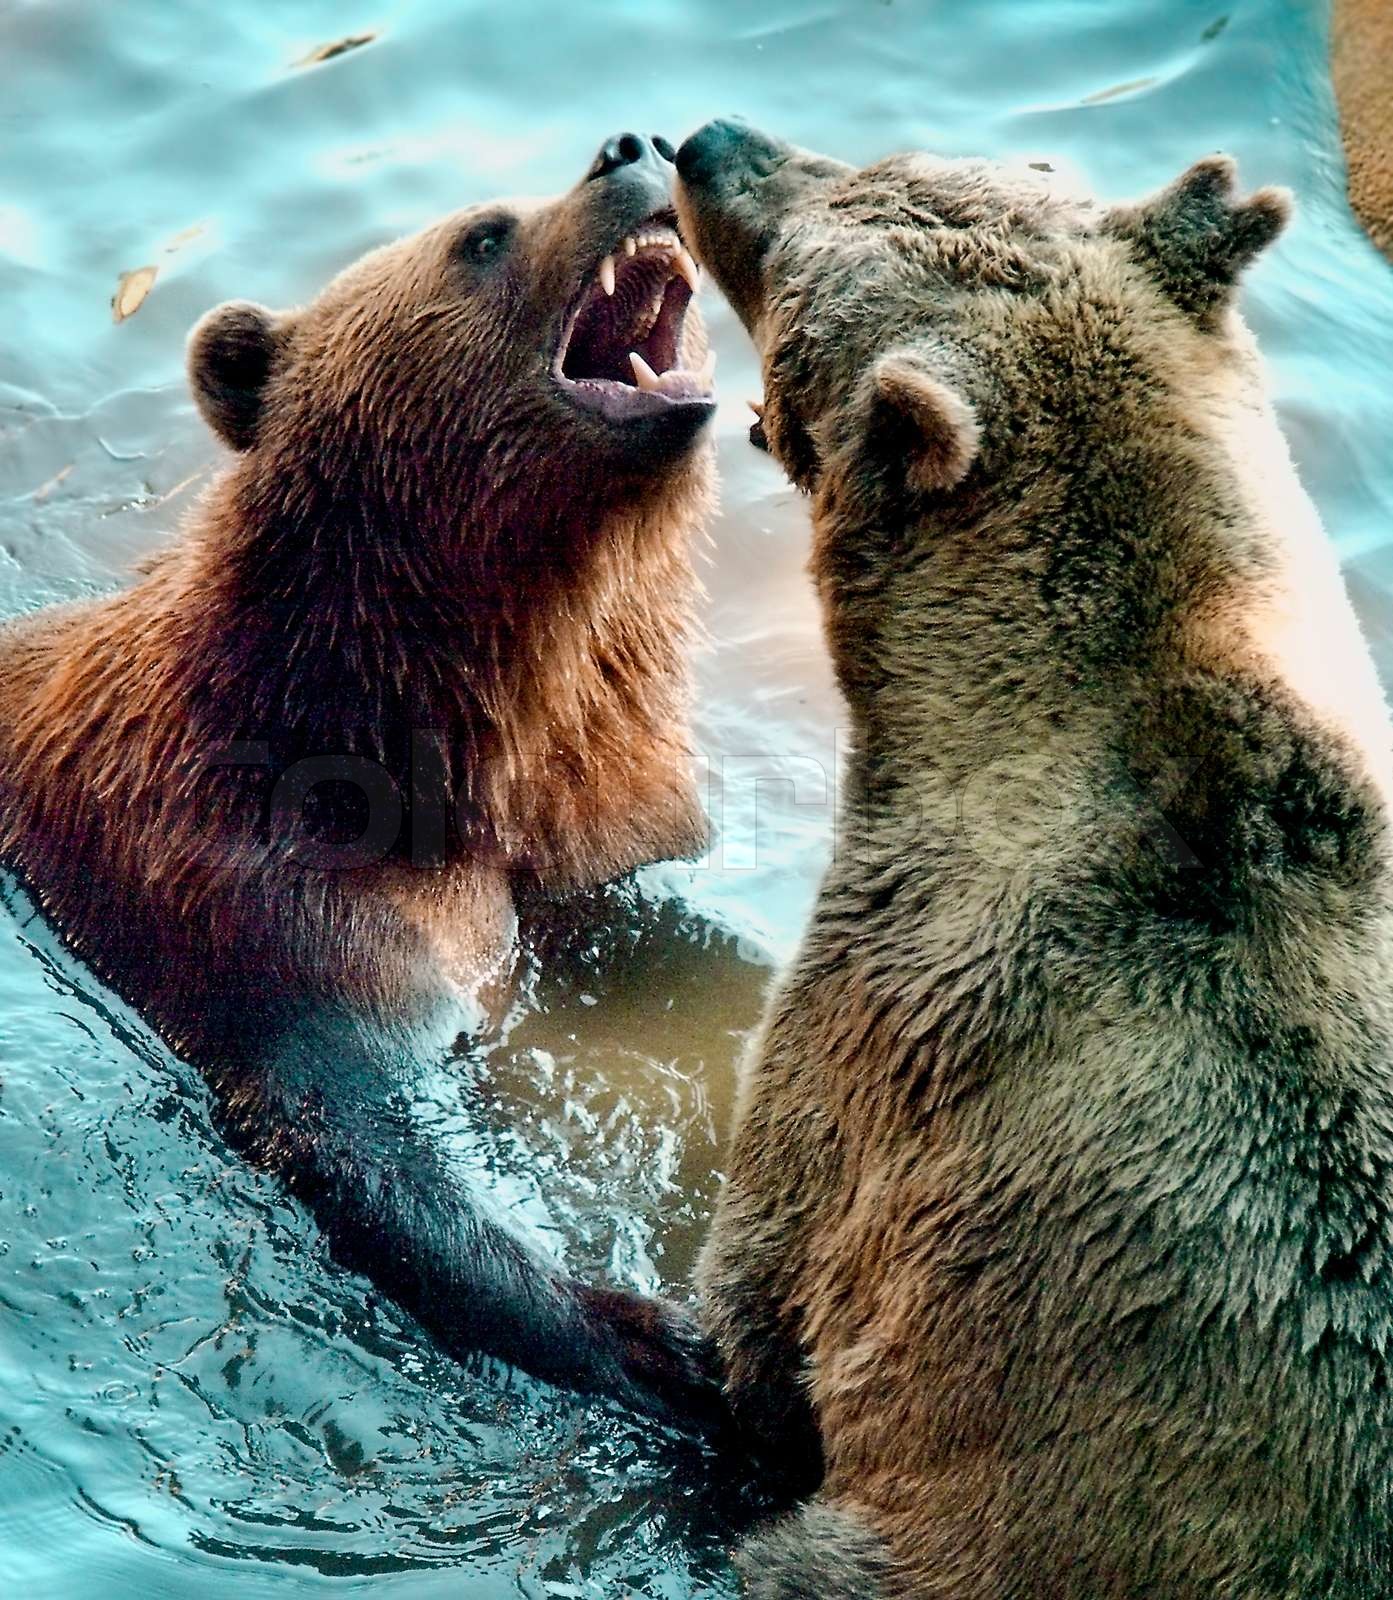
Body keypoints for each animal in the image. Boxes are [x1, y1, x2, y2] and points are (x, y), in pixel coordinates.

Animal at [0, 132, 726, 1432]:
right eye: (481, 233)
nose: (631, 146)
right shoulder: (257, 901)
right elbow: (371, 1148)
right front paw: (657, 1338)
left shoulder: (594, 844)